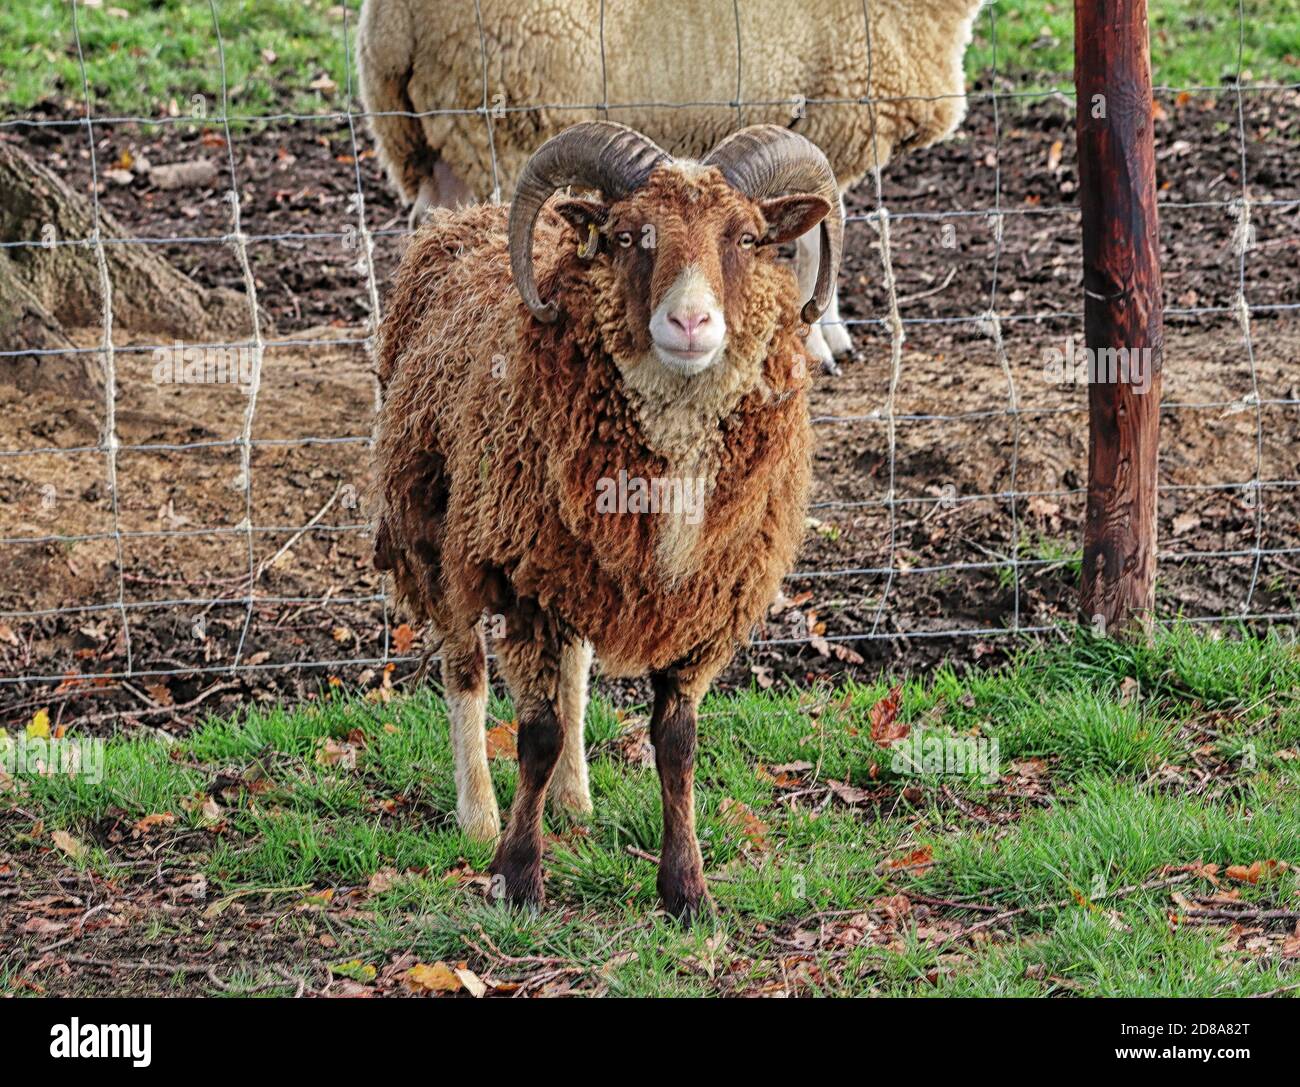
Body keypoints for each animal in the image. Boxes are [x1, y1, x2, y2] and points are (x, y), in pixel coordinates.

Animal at [357, 0, 983, 369]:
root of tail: (394, 25)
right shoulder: (827, 118)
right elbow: (814, 241)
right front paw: (821, 339)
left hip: (427, 137)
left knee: (432, 231)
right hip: (499, 127)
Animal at [371, 121, 842, 918]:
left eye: (748, 238)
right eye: (626, 236)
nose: (691, 321)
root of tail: (461, 220)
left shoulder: (701, 603)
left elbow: (675, 744)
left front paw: (687, 890)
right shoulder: (518, 579)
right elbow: (535, 734)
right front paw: (517, 878)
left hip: (575, 565)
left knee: (575, 674)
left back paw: (575, 801)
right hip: (443, 535)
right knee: (465, 670)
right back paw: (479, 815)